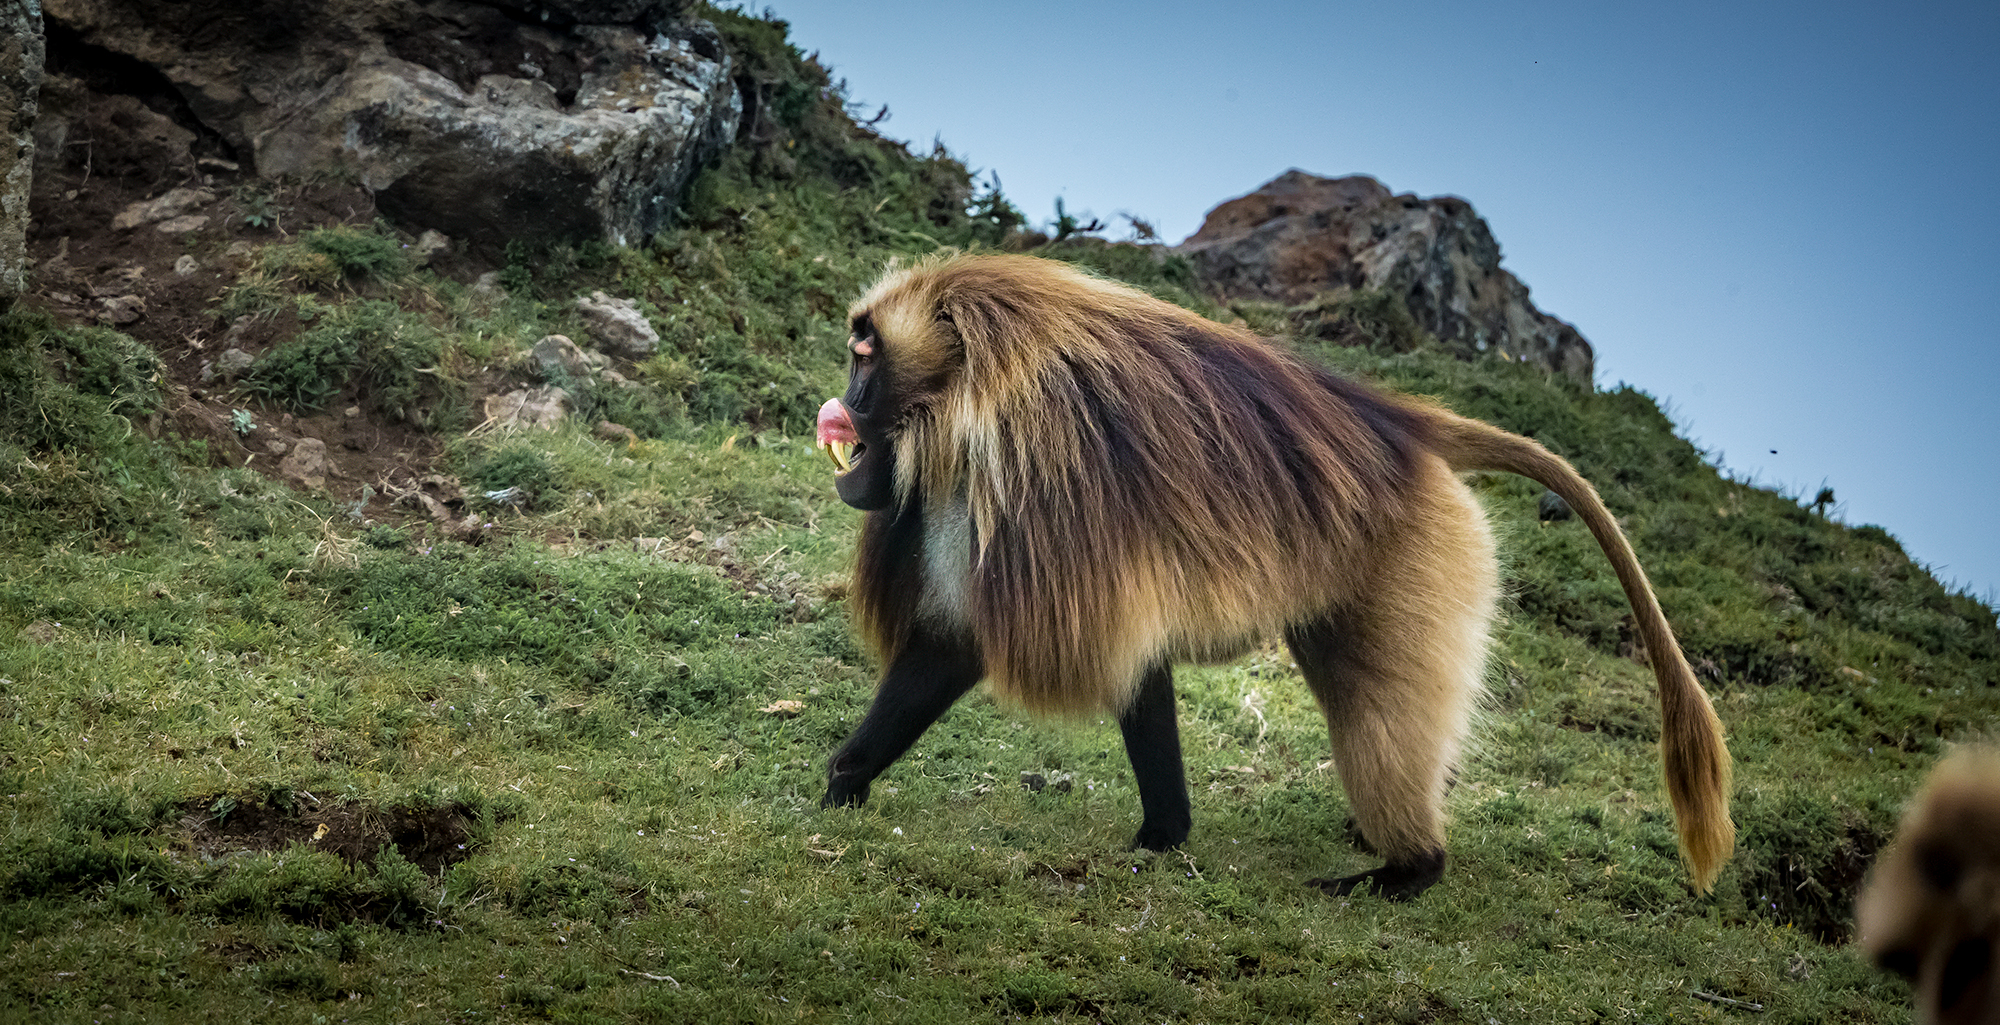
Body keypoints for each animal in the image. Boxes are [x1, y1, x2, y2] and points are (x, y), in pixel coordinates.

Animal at [811, 251, 1733, 900]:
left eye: (865, 360)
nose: (837, 408)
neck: (971, 390)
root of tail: (1401, 424)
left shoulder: (1036, 476)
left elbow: (1111, 653)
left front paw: (1161, 838)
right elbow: (953, 645)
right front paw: (841, 787)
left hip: (1416, 557)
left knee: (1374, 712)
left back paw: (1404, 869)